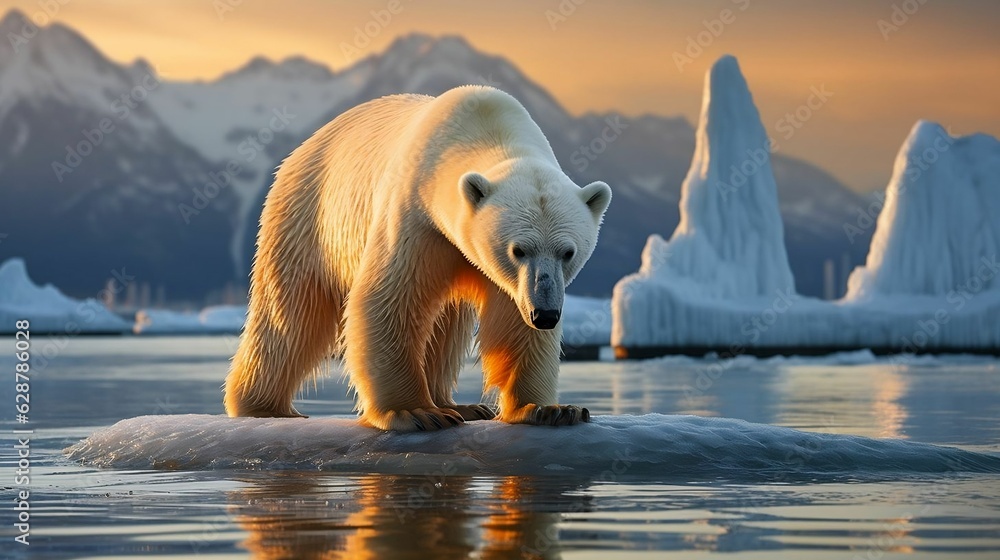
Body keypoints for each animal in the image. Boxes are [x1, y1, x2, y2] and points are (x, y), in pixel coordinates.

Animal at [223, 85, 612, 431]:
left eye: (568, 251)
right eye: (518, 249)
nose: (545, 314)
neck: (486, 125)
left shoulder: (493, 268)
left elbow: (512, 319)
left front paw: (549, 409)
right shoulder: (417, 216)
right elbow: (388, 299)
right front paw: (414, 413)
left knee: (445, 326)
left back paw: (461, 405)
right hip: (306, 217)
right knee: (292, 316)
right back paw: (263, 406)